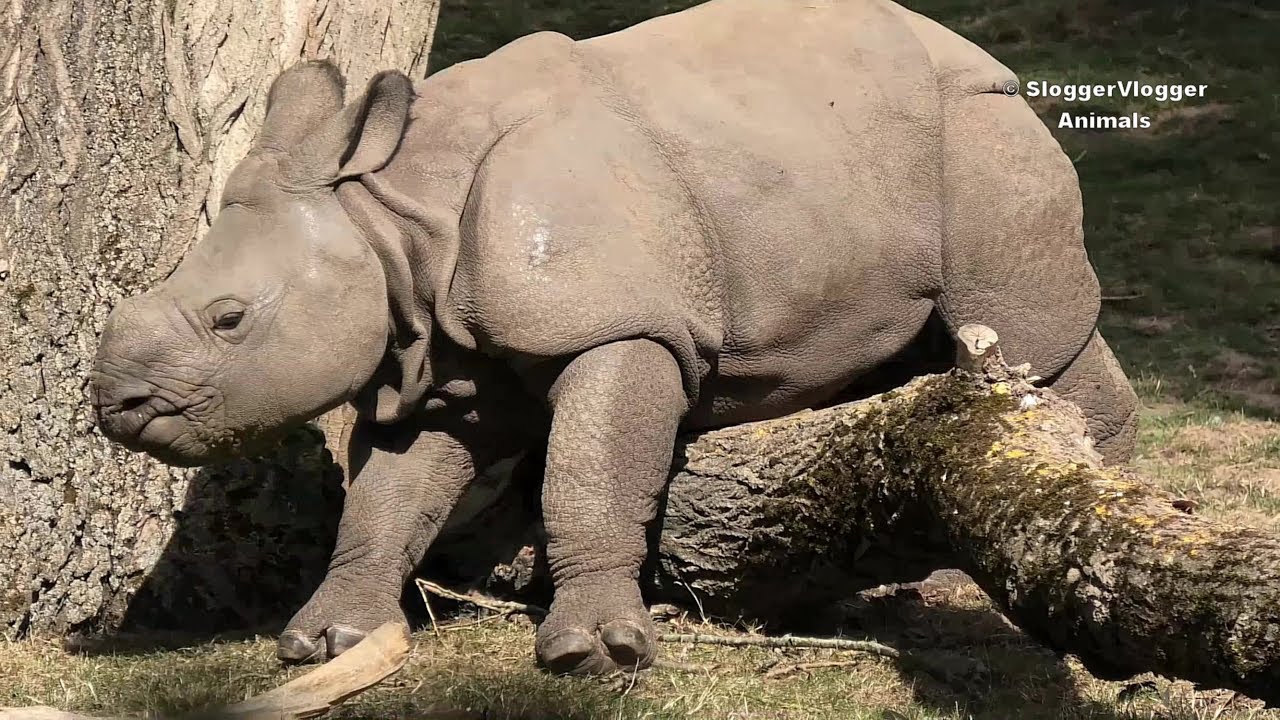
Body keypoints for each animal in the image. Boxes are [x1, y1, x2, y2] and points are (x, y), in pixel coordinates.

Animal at [90, 0, 1138, 675]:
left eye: (230, 320)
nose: (114, 403)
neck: (390, 215)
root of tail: (979, 57)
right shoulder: (441, 361)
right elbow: (387, 502)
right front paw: (322, 643)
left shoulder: (618, 322)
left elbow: (589, 474)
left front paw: (596, 651)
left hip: (980, 133)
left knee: (1026, 333)